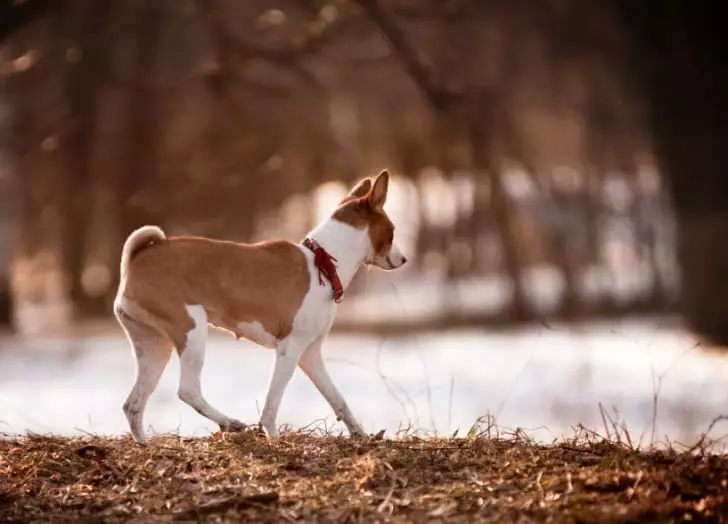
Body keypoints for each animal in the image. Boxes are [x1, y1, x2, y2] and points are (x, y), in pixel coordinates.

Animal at [116, 170, 406, 444]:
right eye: (392, 231)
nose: (403, 259)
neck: (322, 262)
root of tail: (136, 261)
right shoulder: (290, 350)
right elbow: (272, 404)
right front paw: (274, 437)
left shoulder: (311, 354)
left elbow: (339, 400)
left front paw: (360, 434)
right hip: (192, 331)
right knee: (187, 390)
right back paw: (230, 423)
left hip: (154, 348)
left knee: (133, 405)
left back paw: (144, 444)